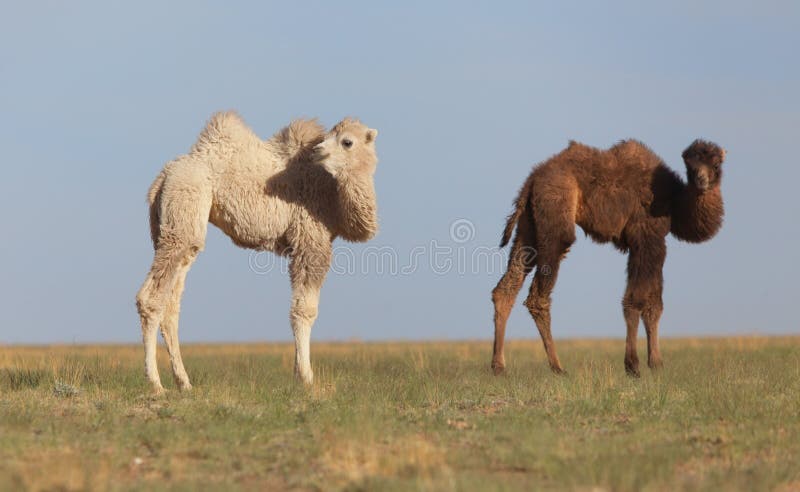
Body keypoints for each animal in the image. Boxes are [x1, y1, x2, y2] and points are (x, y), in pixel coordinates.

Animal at [136, 111, 379, 393]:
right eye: (331, 138)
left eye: (347, 141)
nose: (318, 151)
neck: (330, 191)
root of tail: (164, 176)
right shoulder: (310, 239)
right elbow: (304, 310)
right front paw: (306, 378)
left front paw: (297, 374)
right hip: (184, 207)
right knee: (150, 298)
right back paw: (155, 383)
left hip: (174, 227)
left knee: (172, 303)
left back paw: (184, 382)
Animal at [491, 139, 725, 376]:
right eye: (690, 166)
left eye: (716, 164)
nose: (702, 181)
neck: (674, 202)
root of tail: (531, 180)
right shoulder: (646, 237)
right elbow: (636, 300)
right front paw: (633, 365)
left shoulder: (653, 243)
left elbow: (654, 305)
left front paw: (657, 363)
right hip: (554, 214)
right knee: (538, 295)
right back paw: (558, 367)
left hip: (528, 226)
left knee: (505, 288)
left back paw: (499, 366)